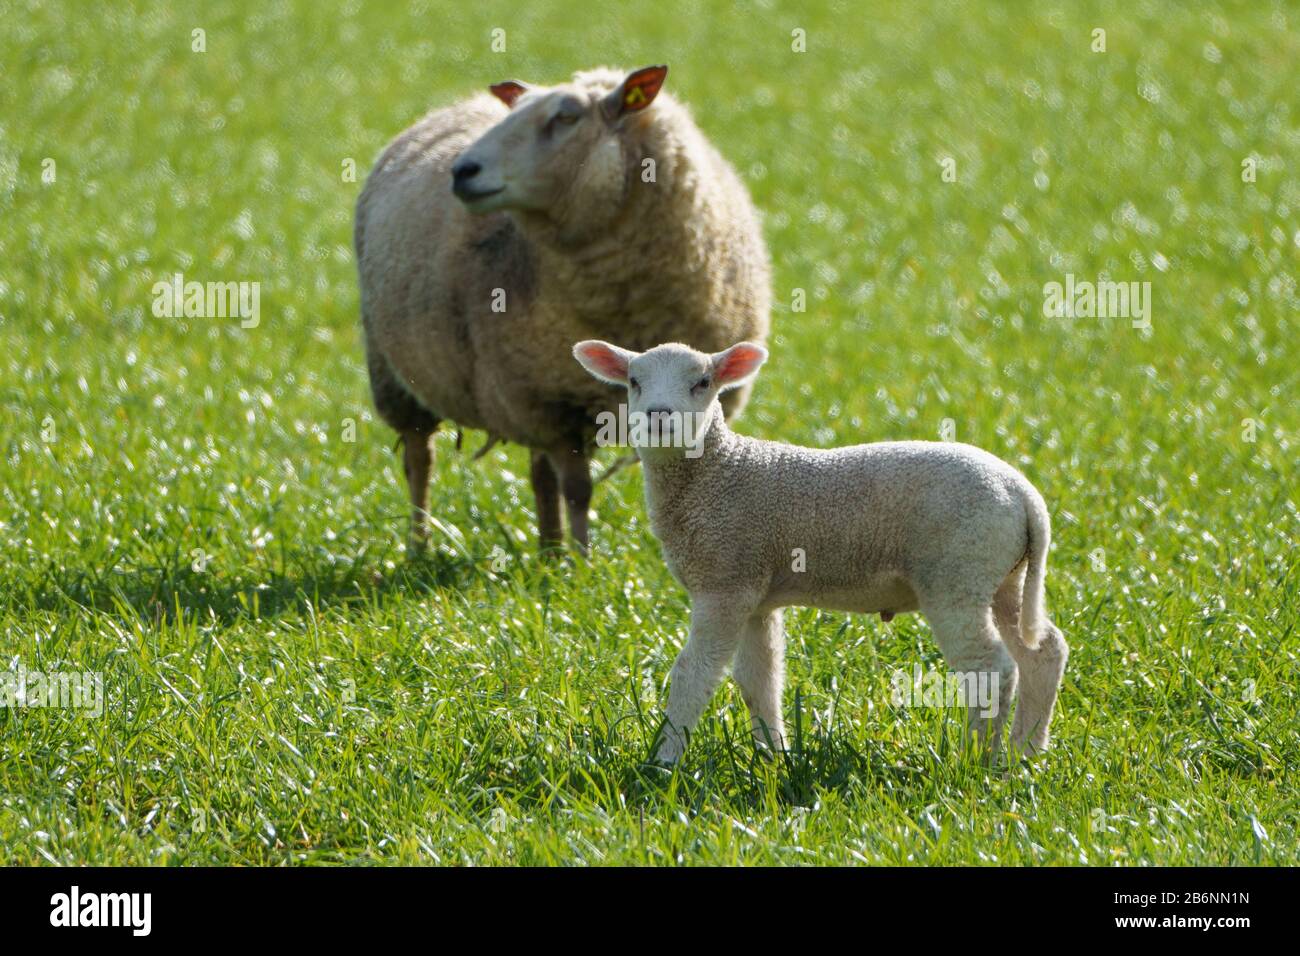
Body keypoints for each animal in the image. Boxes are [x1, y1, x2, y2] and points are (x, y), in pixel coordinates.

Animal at [354, 65, 770, 554]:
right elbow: (578, 489)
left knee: (538, 476)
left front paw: (573, 557)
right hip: (398, 376)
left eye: (566, 117)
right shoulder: (553, 405)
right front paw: (585, 564)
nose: (461, 171)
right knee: (420, 458)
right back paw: (420, 545)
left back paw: (548, 550)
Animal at [572, 339, 1069, 765]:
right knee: (1043, 652)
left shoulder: (724, 582)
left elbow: (694, 674)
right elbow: (760, 680)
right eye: (634, 381)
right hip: (1003, 575)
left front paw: (663, 763)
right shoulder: (755, 591)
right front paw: (773, 758)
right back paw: (1026, 753)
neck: (716, 471)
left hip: (957, 572)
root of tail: (1024, 494)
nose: (658, 416)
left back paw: (976, 760)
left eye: (703, 382)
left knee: (991, 667)